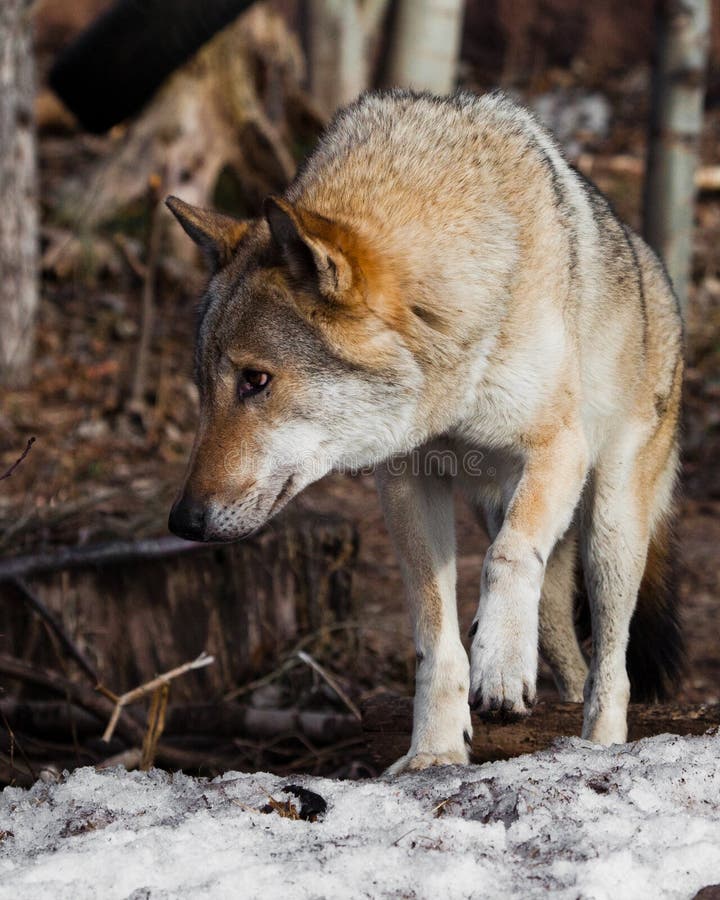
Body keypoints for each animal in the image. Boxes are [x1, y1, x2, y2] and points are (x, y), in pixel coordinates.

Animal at [167, 90, 683, 773]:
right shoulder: (406, 480)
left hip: (611, 527)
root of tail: (657, 273)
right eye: (205, 388)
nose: (182, 522)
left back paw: (597, 748)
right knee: (566, 650)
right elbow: (436, 636)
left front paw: (499, 665)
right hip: (519, 526)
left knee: (612, 665)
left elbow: (506, 558)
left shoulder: (557, 448)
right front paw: (435, 753)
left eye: (255, 380)